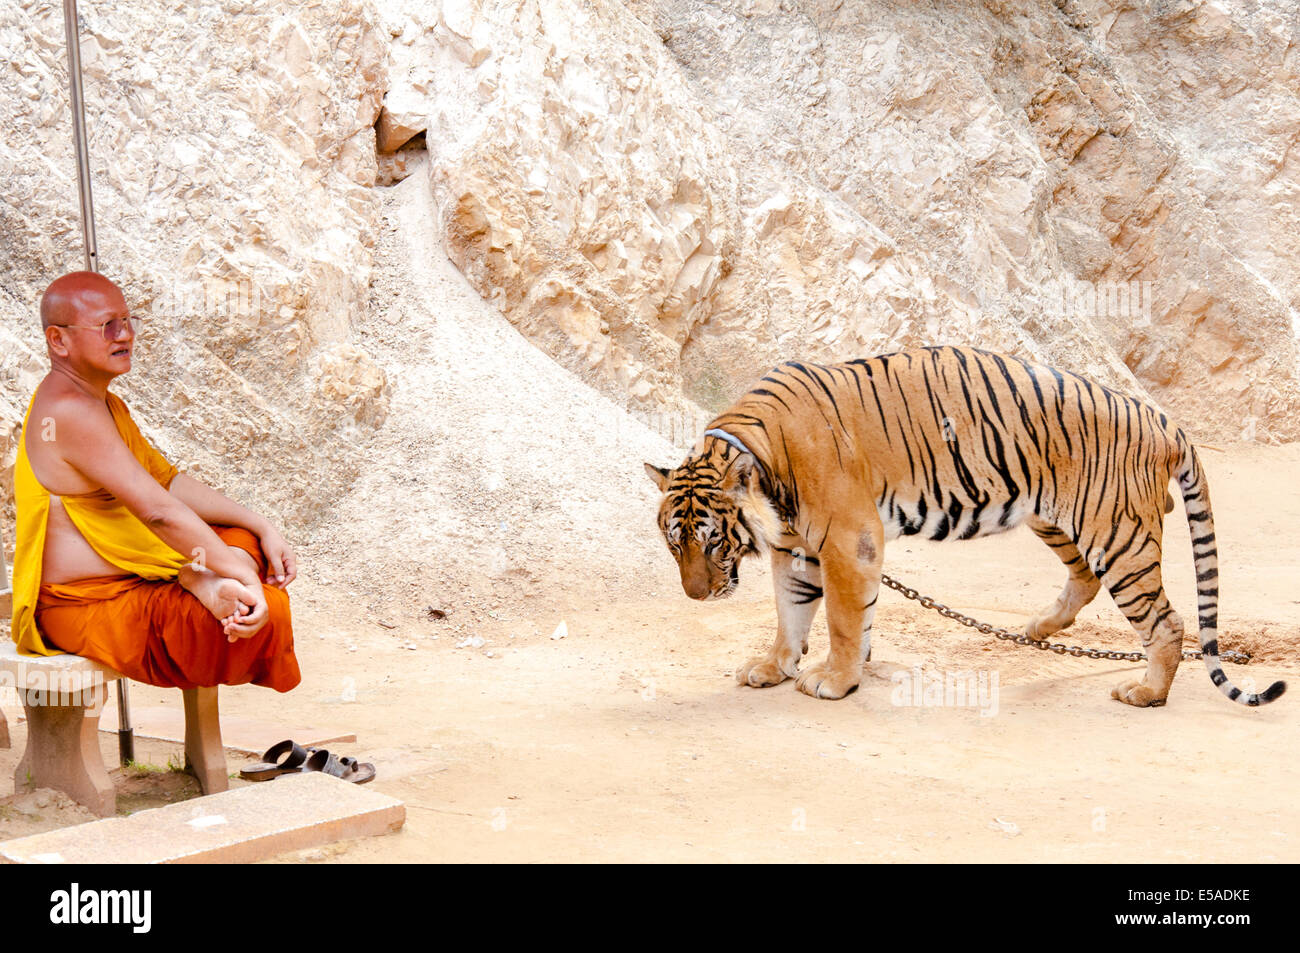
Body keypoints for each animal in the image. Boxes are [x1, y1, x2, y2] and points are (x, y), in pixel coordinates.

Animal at [644, 345, 1286, 708]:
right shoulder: (795, 549)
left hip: (1117, 536)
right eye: (675, 544)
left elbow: (841, 619)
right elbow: (792, 612)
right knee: (1085, 579)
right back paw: (1039, 628)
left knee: (1167, 622)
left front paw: (836, 679)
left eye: (713, 539)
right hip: (1052, 515)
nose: (697, 596)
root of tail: (1162, 420)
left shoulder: (848, 541)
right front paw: (776, 667)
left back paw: (1147, 692)